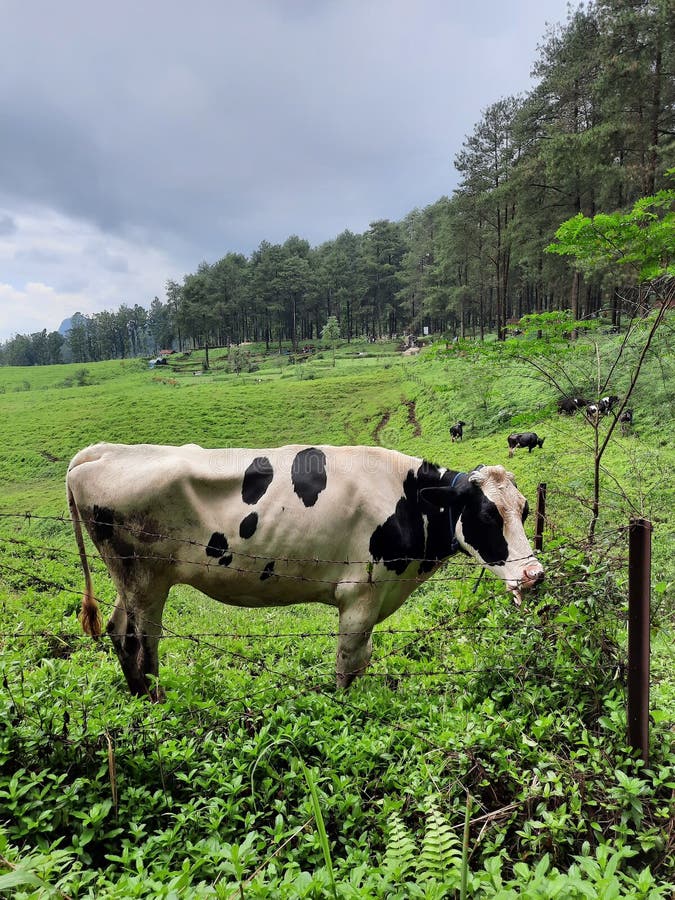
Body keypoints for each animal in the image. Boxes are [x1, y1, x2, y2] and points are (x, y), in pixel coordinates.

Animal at [67, 443, 544, 699]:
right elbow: (348, 666)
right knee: (139, 641)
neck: (407, 500)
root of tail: (100, 452)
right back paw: (158, 704)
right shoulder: (359, 595)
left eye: (524, 509)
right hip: (146, 578)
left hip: (133, 580)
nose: (533, 574)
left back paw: (139, 698)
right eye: (486, 515)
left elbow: (362, 662)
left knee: (119, 631)